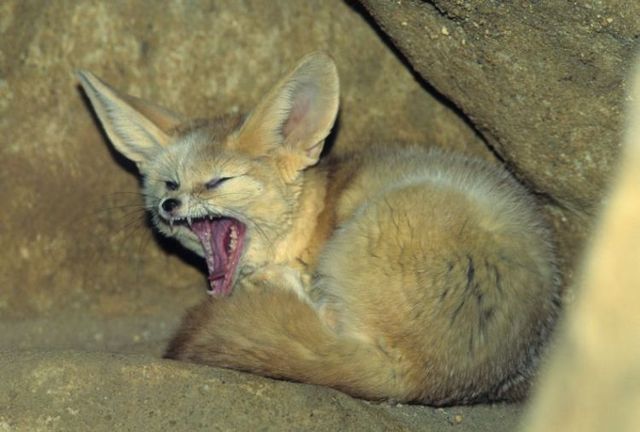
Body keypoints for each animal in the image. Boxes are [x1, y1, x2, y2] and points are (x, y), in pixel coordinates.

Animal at [77, 52, 560, 405]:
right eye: (170, 183)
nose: (168, 205)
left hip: (365, 232)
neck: (313, 214)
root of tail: (420, 381)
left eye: (217, 182)